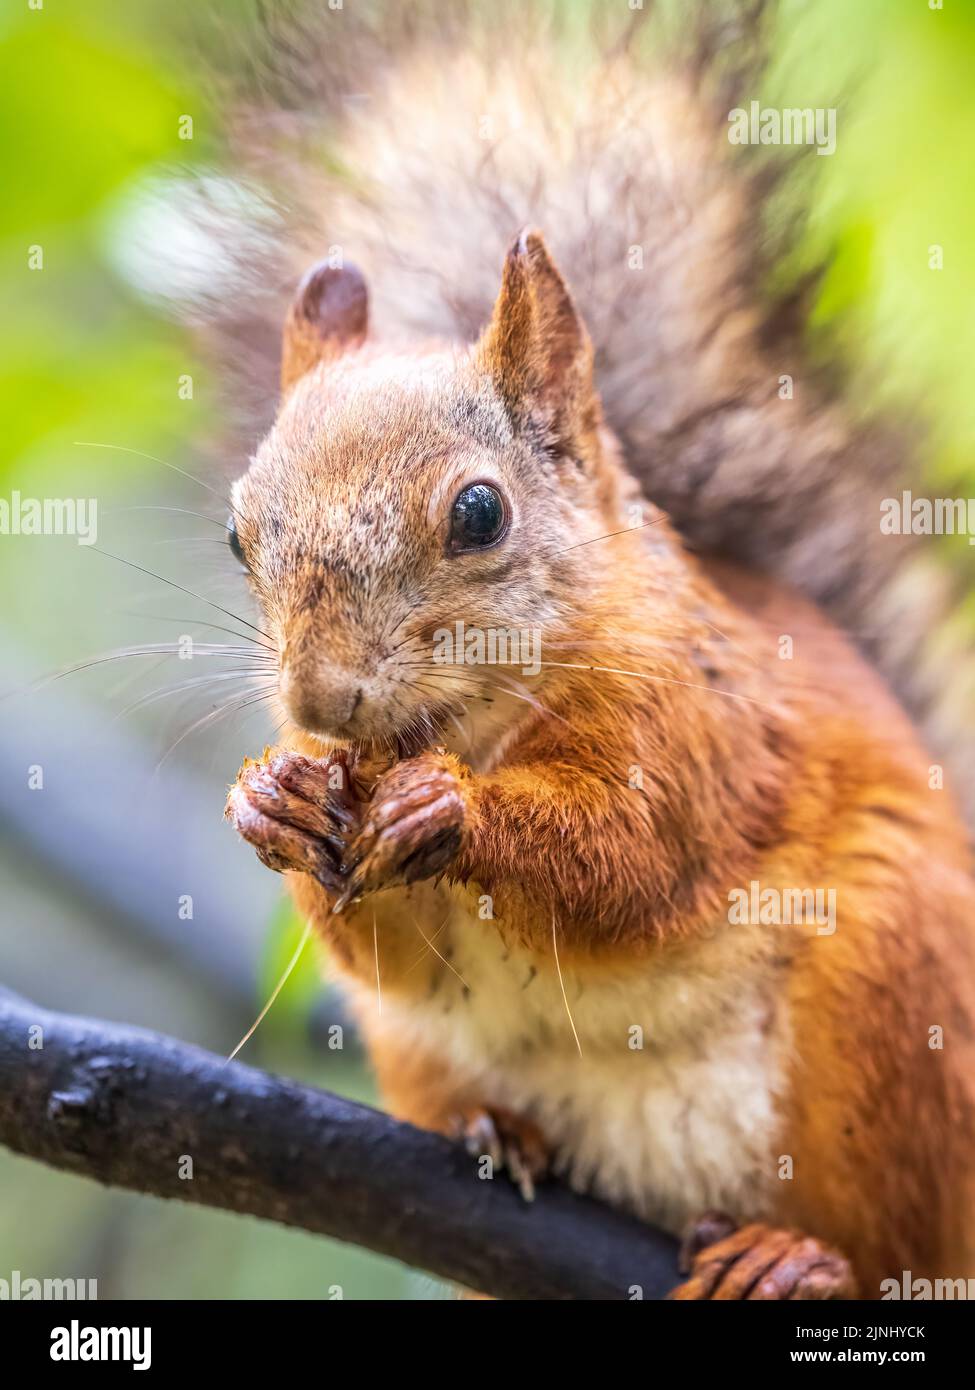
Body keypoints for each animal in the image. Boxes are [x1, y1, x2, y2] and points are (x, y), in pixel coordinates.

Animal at [208, 4, 975, 1298]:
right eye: (237, 533)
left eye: (480, 512)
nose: (320, 697)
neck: (469, 719)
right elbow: (392, 960)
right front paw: (272, 796)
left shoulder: (705, 728)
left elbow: (633, 856)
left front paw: (452, 810)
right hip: (427, 1062)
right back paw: (501, 1132)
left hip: (894, 992)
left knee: (893, 1241)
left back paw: (798, 1255)